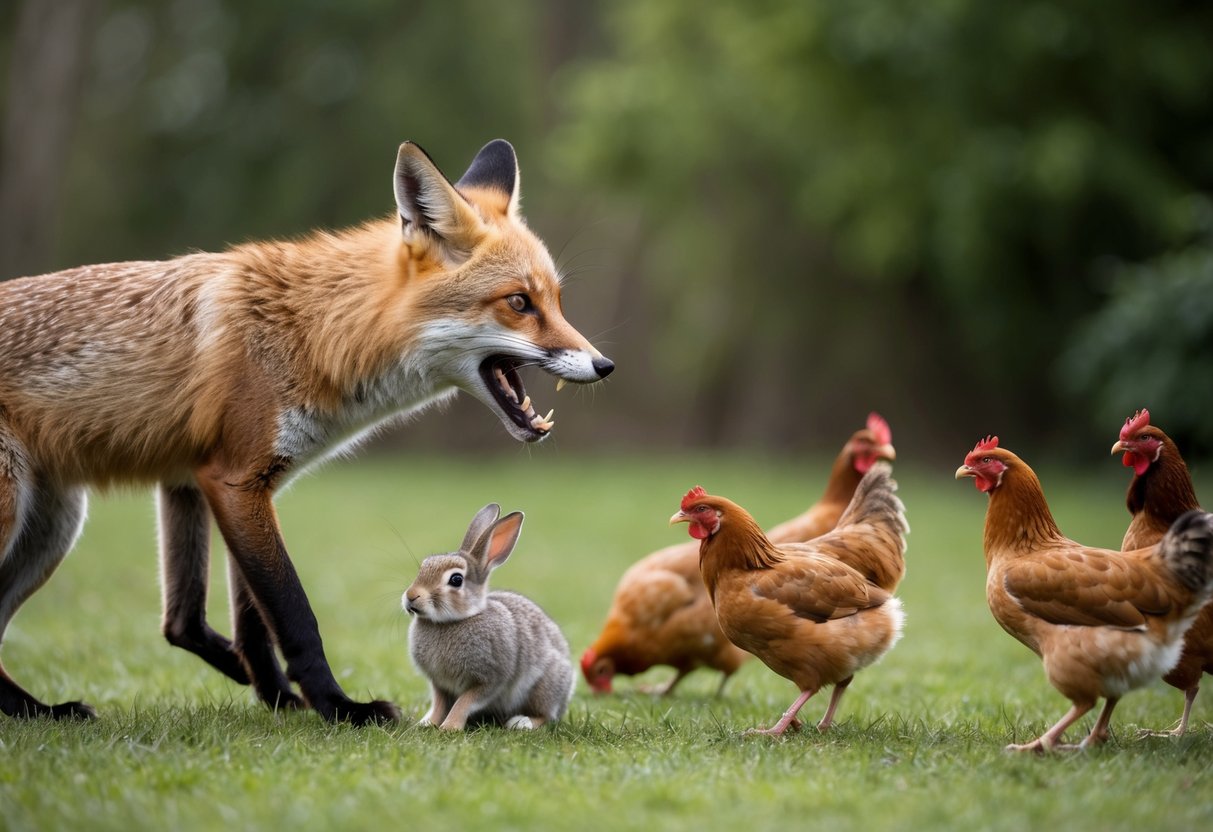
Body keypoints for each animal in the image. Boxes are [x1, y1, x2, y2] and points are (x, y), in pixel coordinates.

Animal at [0, 139, 613, 724]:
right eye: (519, 302)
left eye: (556, 301)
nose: (605, 365)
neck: (317, 332)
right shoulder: (236, 480)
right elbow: (293, 614)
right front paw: (339, 708)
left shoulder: (229, 485)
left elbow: (250, 621)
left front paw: (279, 698)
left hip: (56, 524)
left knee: (175, 621)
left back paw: (39, 712)